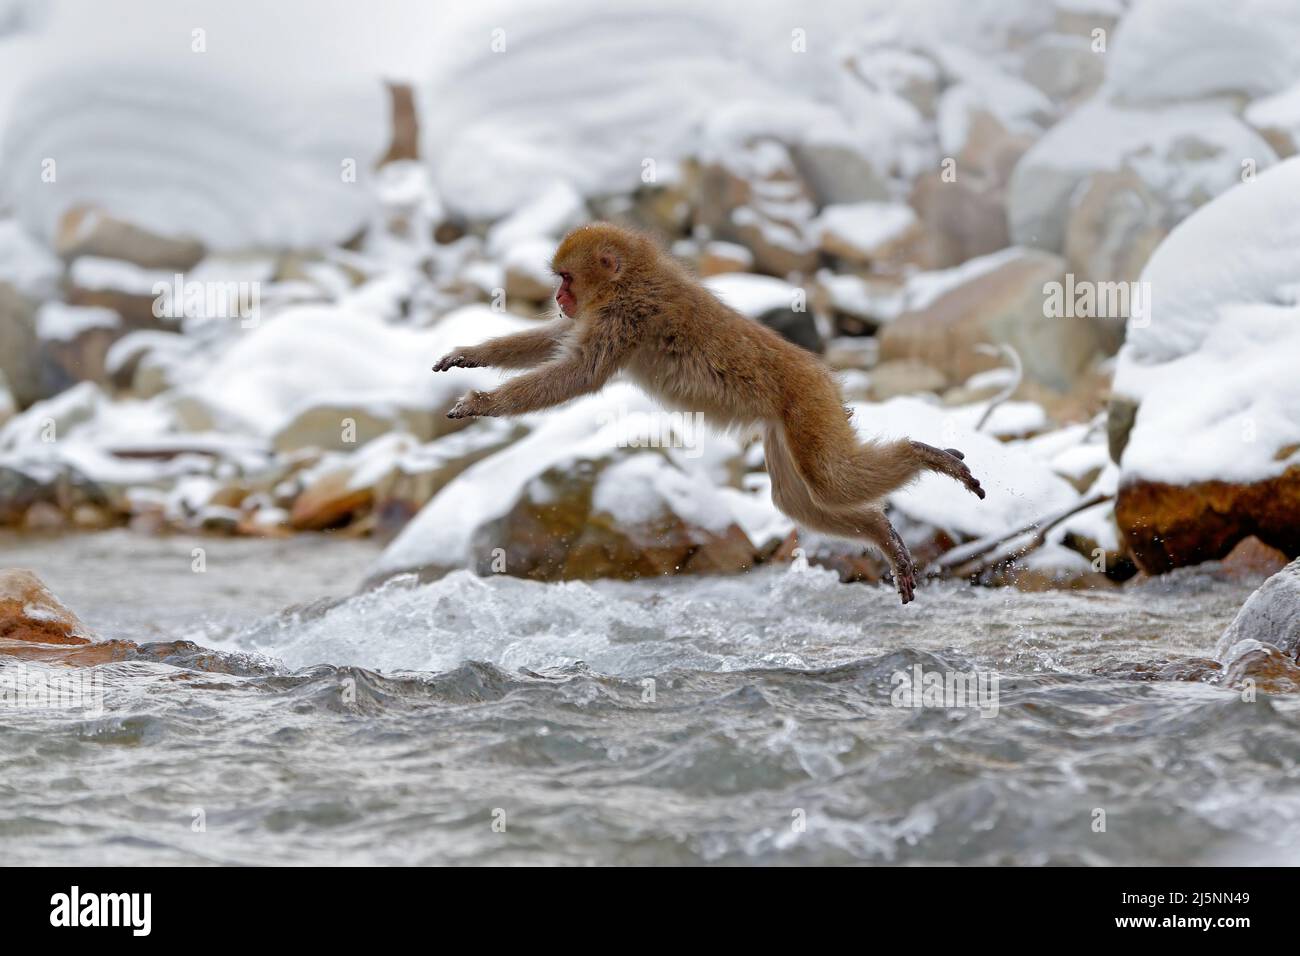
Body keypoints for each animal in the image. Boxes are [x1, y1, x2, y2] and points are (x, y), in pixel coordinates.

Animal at [433, 223, 984, 604]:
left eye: (567, 277)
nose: (558, 296)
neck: (631, 278)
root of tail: (819, 372)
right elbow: (555, 341)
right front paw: (469, 355)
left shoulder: (624, 316)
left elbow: (580, 373)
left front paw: (483, 403)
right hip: (785, 427)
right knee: (797, 499)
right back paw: (882, 534)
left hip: (808, 404)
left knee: (829, 479)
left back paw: (925, 455)